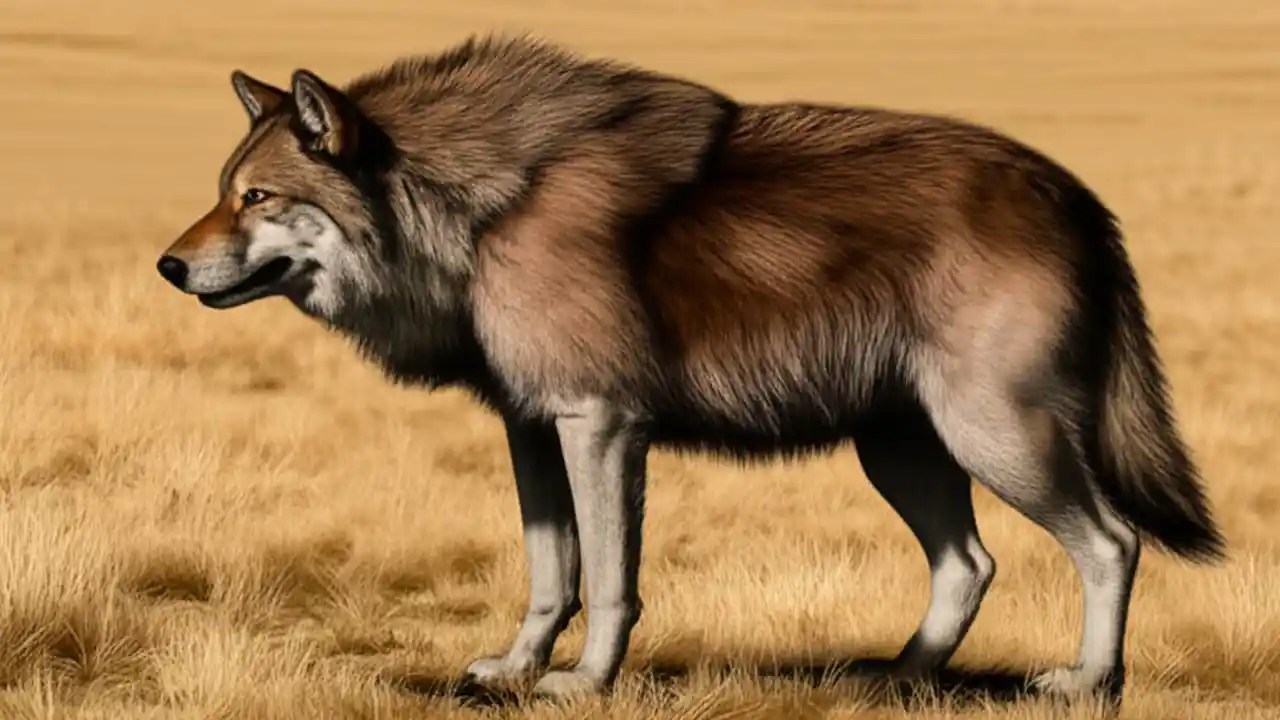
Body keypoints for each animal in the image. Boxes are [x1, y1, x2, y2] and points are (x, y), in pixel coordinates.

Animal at [156, 35, 1223, 702]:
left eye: (258, 198)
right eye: (222, 192)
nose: (168, 266)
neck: (486, 211)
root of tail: (1074, 192)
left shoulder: (600, 424)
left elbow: (612, 579)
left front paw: (585, 683)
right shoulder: (531, 426)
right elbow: (551, 572)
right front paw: (516, 666)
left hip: (996, 438)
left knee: (1112, 543)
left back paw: (1089, 683)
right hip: (902, 452)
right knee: (970, 564)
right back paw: (898, 677)